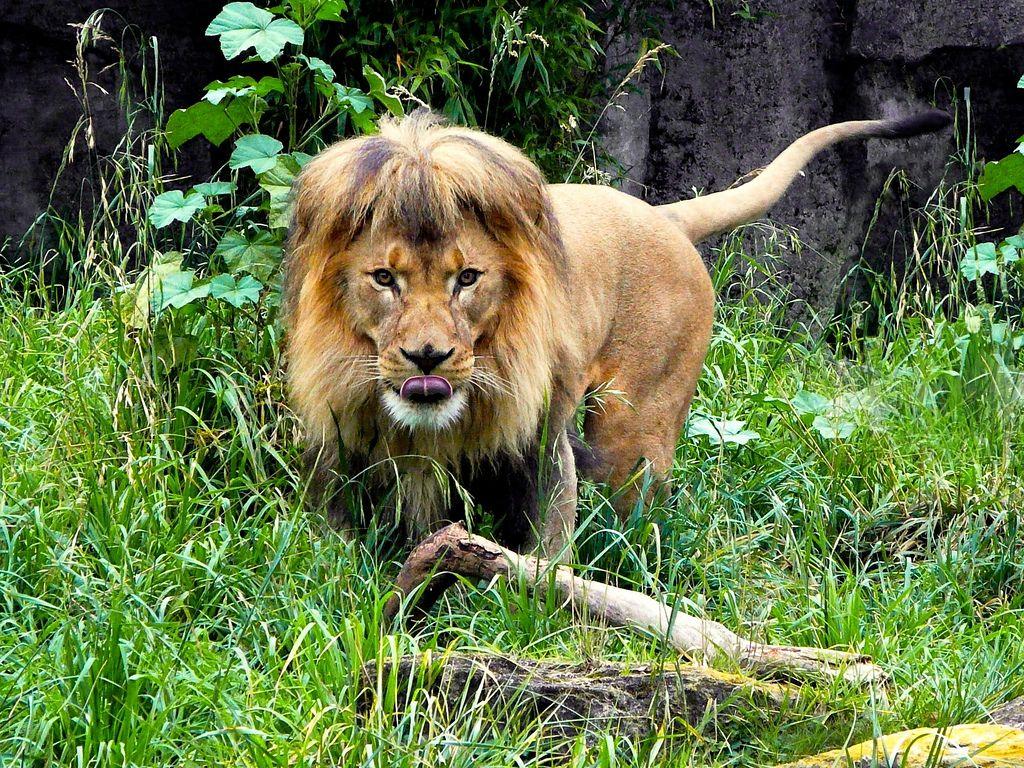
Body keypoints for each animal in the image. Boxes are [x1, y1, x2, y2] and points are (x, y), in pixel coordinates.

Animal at [284, 107, 950, 557]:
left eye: (467, 278)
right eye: (384, 278)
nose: (428, 356)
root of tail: (661, 215)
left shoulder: (541, 439)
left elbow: (546, 547)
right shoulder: (340, 438)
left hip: (635, 427)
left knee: (637, 515)